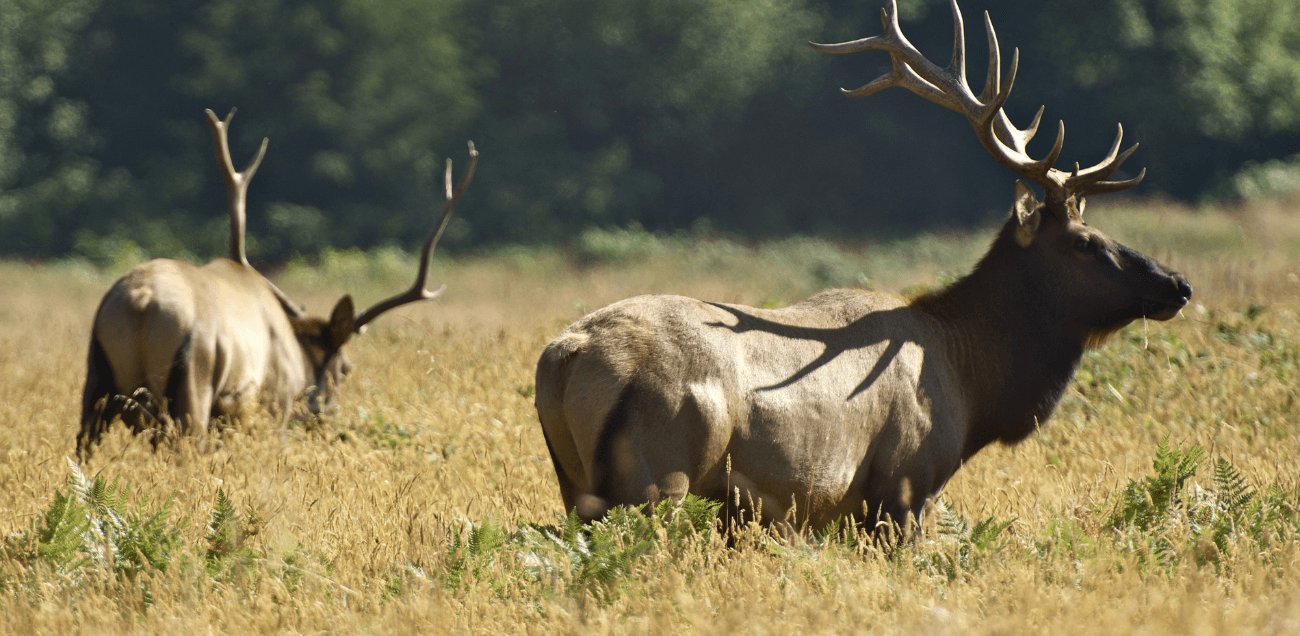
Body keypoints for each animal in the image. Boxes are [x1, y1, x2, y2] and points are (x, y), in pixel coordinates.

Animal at [77, 108, 478, 459]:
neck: (298, 360)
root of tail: (141, 303)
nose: (329, 420)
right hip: (193, 384)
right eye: (345, 368)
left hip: (96, 383)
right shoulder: (274, 407)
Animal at [533, 0, 1193, 533]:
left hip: (576, 487)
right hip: (659, 476)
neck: (969, 383)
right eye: (1084, 241)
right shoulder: (904, 484)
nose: (1177, 284)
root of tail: (566, 356)